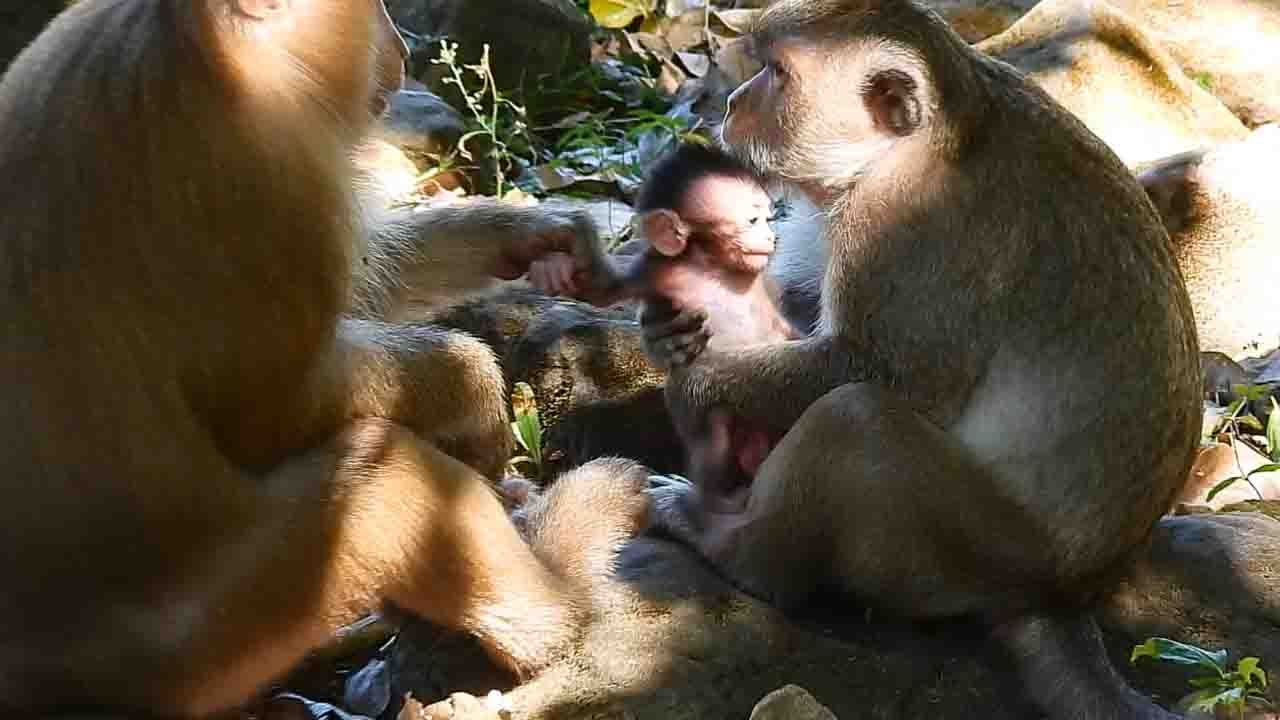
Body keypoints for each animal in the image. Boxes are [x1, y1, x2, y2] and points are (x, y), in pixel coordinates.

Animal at [0, 0, 646, 716]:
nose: (401, 51)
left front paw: (524, 234)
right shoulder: (267, 170)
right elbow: (268, 414)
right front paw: (469, 381)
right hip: (210, 638)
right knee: (388, 482)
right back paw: (563, 586)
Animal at [642, 1, 1202, 718]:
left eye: (776, 73)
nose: (734, 102)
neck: (936, 134)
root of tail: (1064, 593)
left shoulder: (898, 227)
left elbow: (882, 374)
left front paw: (694, 387)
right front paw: (671, 334)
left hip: (972, 552)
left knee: (855, 419)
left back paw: (738, 550)